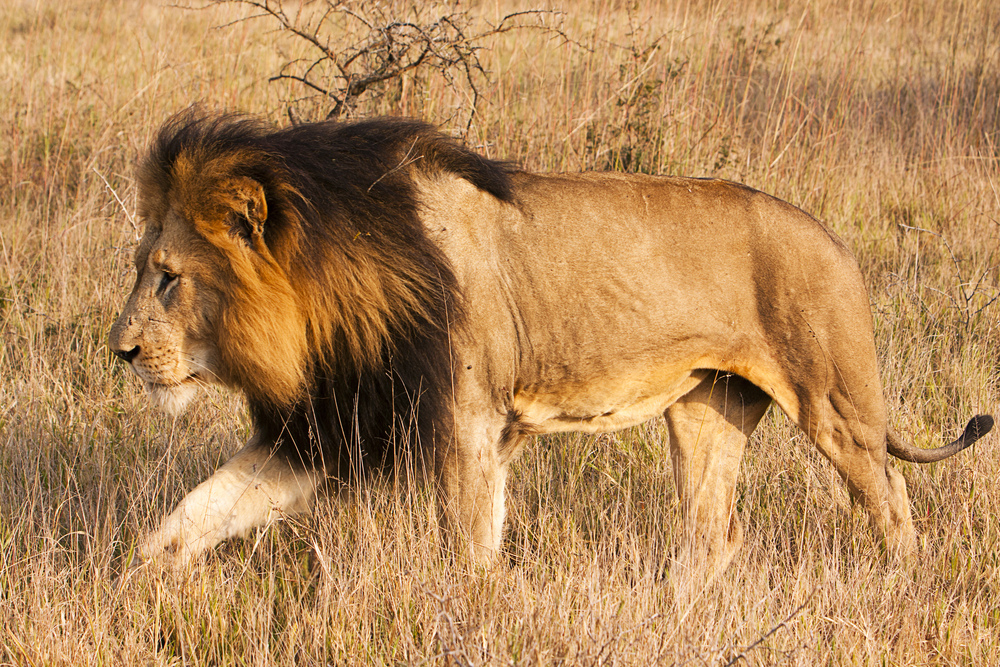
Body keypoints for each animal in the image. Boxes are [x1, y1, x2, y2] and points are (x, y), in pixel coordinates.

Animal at [109, 109, 993, 573]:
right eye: (145, 268)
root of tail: (836, 241)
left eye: (168, 277)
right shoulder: (326, 425)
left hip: (834, 401)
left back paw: (902, 579)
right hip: (706, 411)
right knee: (716, 533)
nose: (119, 350)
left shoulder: (466, 425)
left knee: (892, 499)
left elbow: (470, 550)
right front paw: (129, 579)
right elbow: (196, 510)